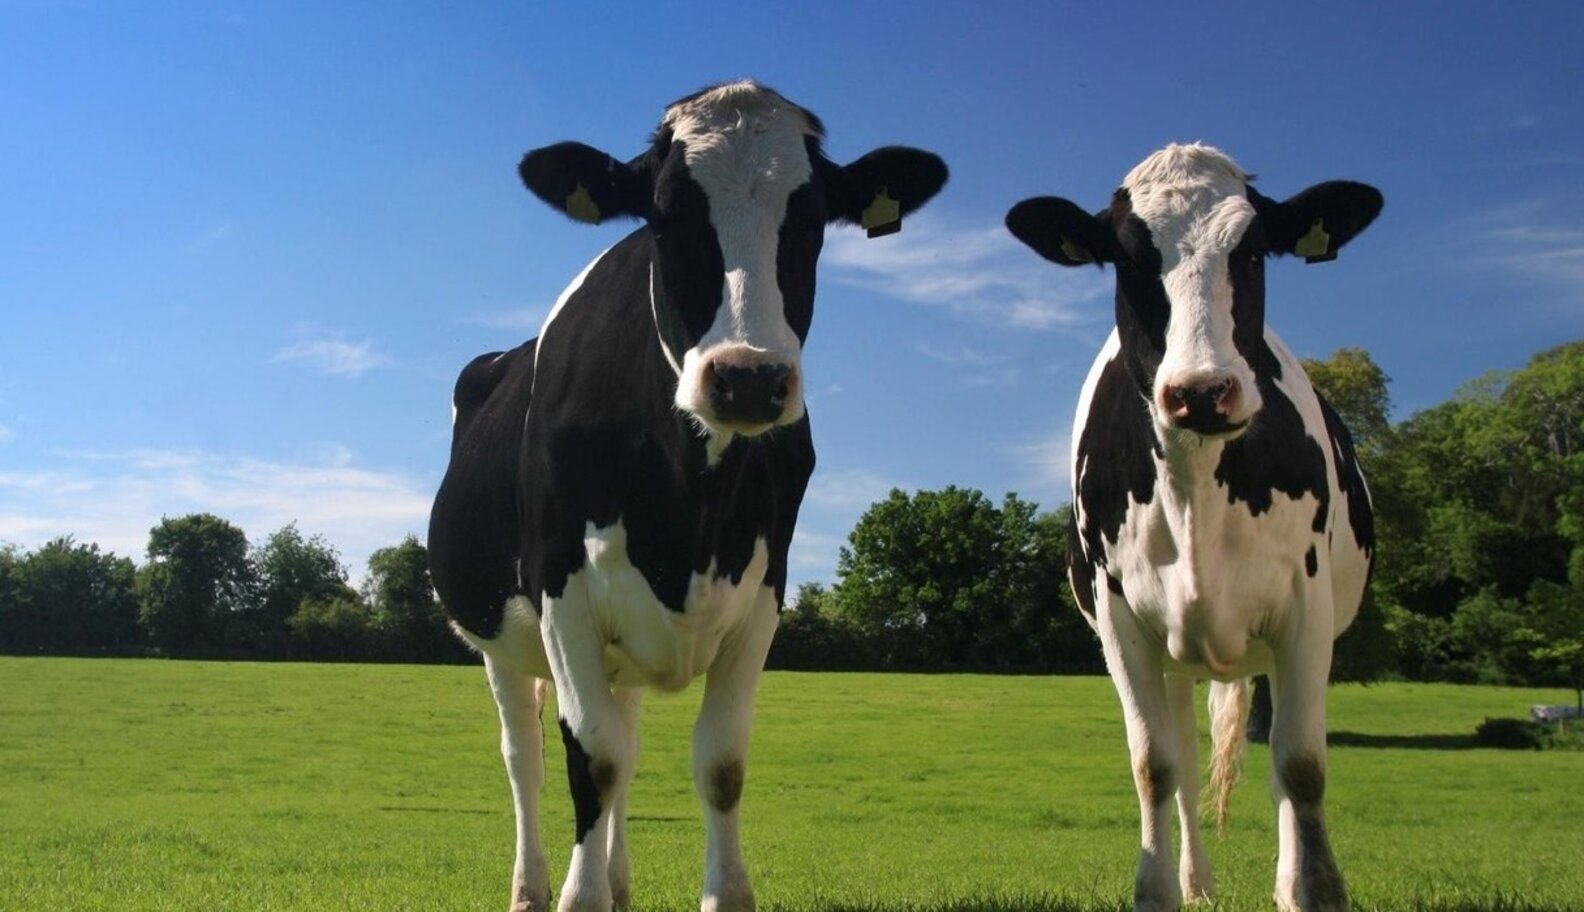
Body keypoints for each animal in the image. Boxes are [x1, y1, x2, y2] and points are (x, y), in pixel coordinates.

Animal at [428, 82, 946, 912]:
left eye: (810, 221)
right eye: (666, 215)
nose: (746, 377)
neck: (689, 513)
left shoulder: (765, 590)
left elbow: (719, 761)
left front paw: (713, 891)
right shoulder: (559, 589)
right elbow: (592, 759)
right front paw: (579, 897)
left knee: (627, 740)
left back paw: (619, 880)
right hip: (496, 638)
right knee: (527, 757)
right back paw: (532, 887)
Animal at [1005, 143, 1381, 912]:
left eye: (1255, 251)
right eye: (1125, 257)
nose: (1202, 392)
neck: (1197, 495)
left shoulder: (1306, 608)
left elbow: (1301, 765)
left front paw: (1315, 889)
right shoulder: (1120, 617)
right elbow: (1155, 764)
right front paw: (1157, 890)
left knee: (1277, 759)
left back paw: (1282, 880)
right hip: (1177, 655)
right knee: (1181, 752)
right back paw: (1198, 881)